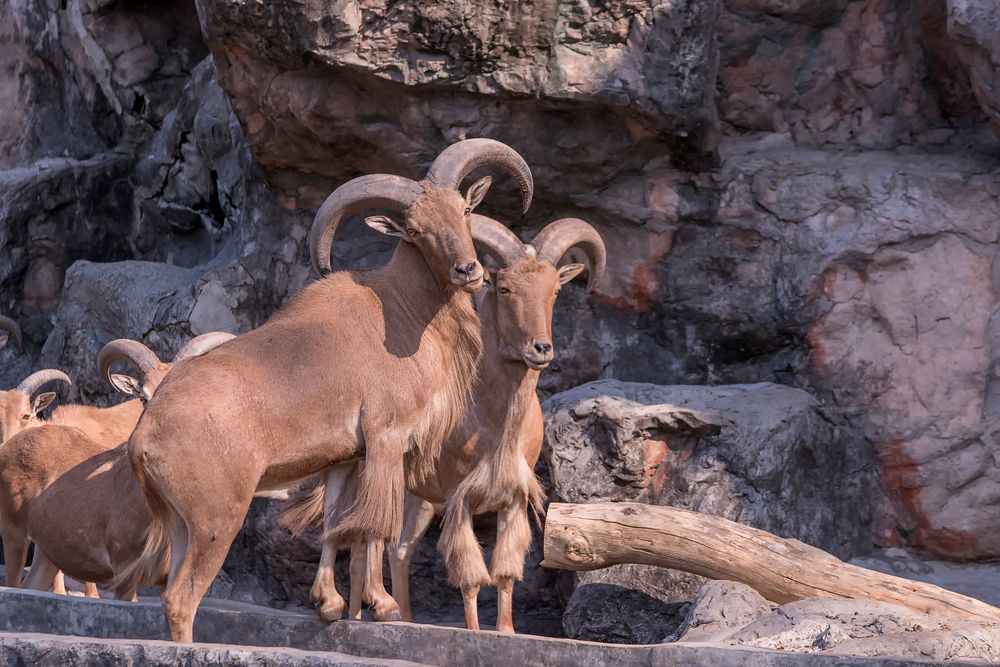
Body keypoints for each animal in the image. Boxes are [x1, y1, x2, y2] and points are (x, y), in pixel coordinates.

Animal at [111, 139, 533, 642]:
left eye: (464, 211)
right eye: (414, 229)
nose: (468, 269)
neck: (402, 312)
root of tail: (143, 438)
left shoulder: (345, 459)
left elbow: (334, 525)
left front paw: (330, 605)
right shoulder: (387, 440)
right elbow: (377, 525)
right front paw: (383, 606)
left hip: (178, 525)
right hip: (216, 521)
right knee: (181, 598)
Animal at [284, 214, 605, 633]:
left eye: (554, 291)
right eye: (504, 288)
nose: (540, 348)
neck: (493, 422)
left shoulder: (512, 498)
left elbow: (504, 574)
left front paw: (506, 631)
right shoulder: (459, 497)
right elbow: (469, 577)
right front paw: (474, 631)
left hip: (417, 499)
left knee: (397, 549)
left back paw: (400, 615)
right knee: (356, 545)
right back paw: (355, 613)